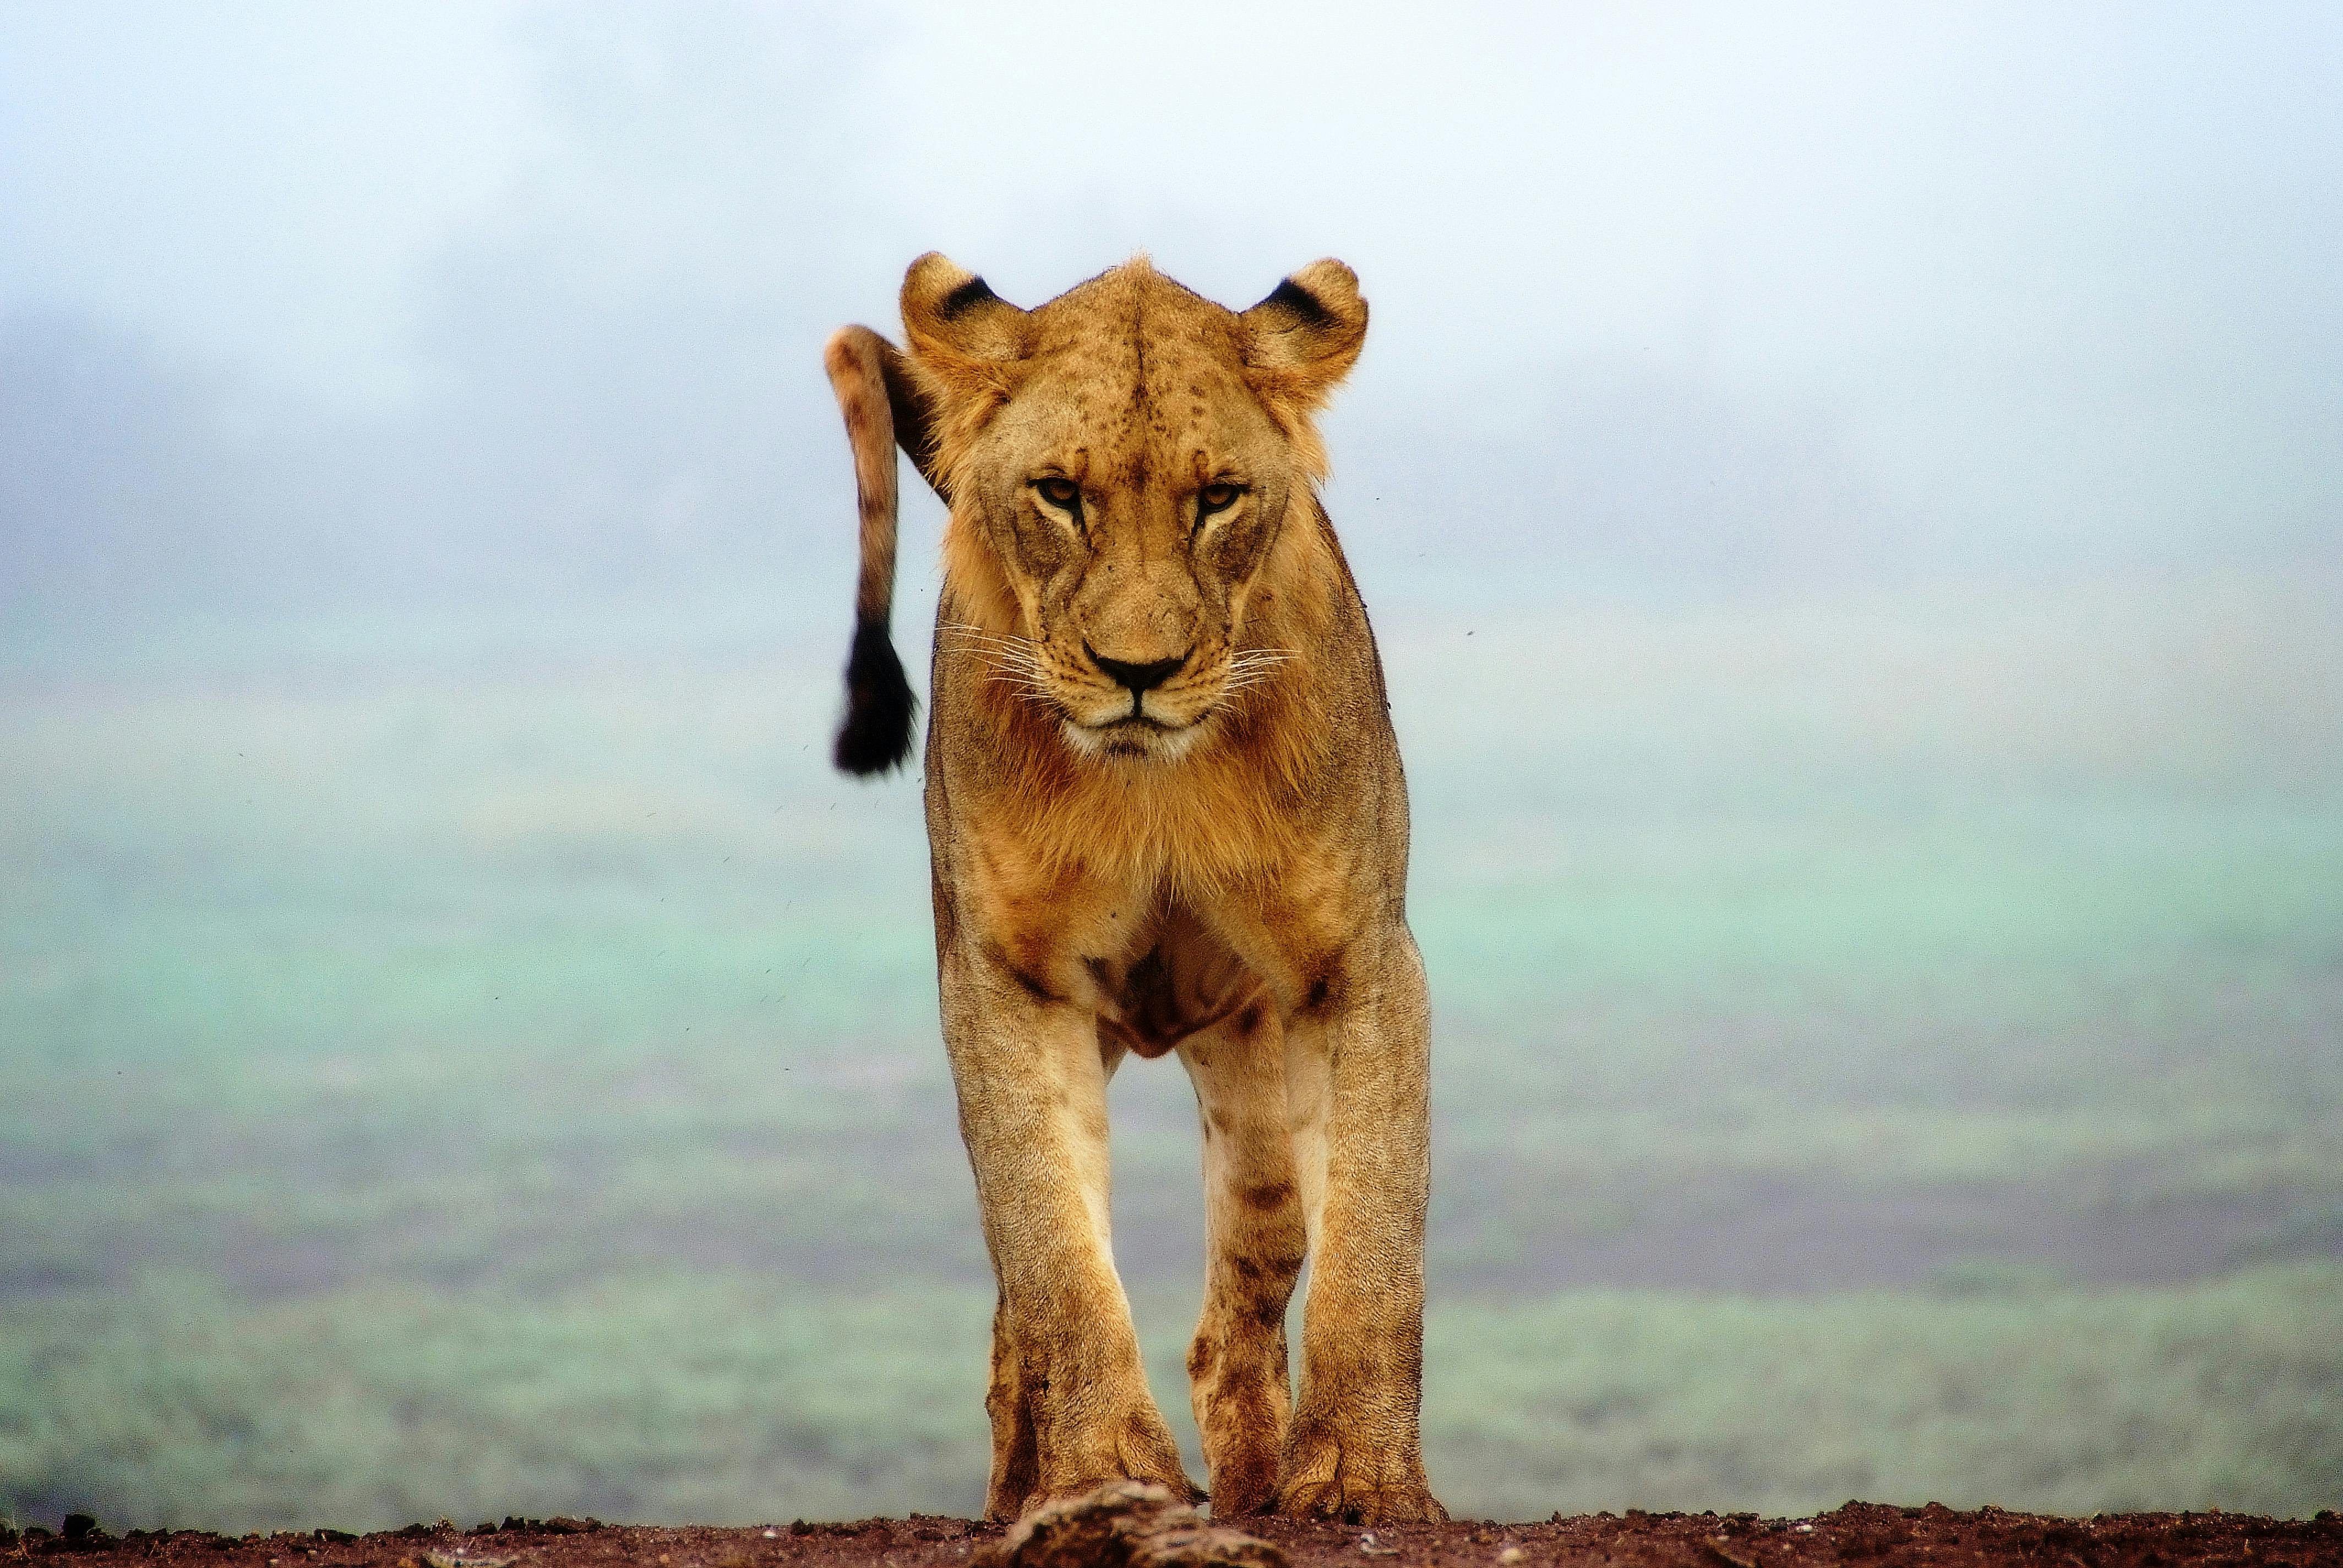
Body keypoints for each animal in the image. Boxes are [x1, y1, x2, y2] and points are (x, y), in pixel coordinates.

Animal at [821, 254, 1442, 1526]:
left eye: (1218, 499)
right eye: (1060, 494)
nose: (1139, 672)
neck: (1154, 787)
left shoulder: (1359, 962)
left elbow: (1374, 1238)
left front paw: (1360, 1480)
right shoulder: (1008, 981)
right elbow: (1056, 1254)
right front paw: (1104, 1473)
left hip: (1251, 1078)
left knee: (1242, 1302)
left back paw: (1254, 1487)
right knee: (1016, 1317)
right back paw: (1020, 1488)